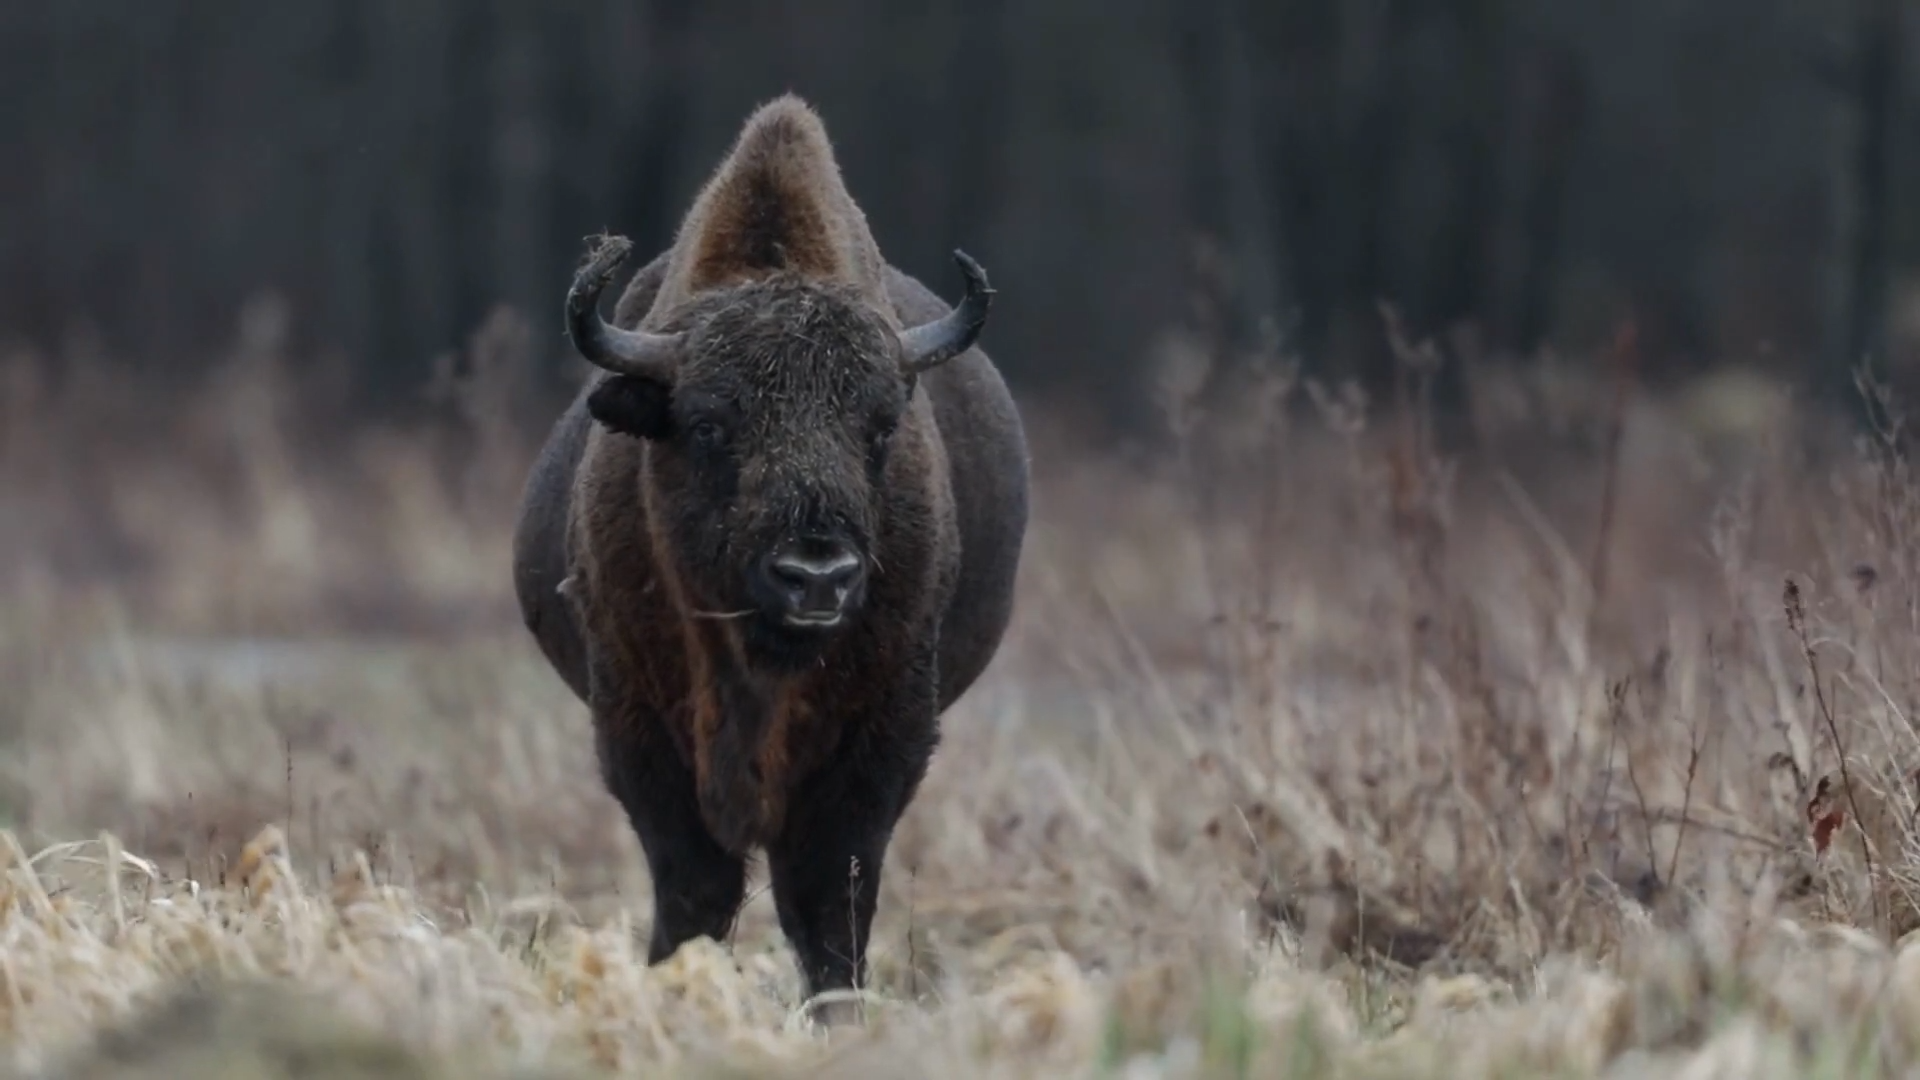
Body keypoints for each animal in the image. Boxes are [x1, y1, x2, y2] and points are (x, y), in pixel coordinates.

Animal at [511, 94, 1030, 1009]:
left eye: (879, 428)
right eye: (710, 425)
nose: (816, 575)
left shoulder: (880, 741)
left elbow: (827, 900)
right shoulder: (639, 731)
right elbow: (694, 888)